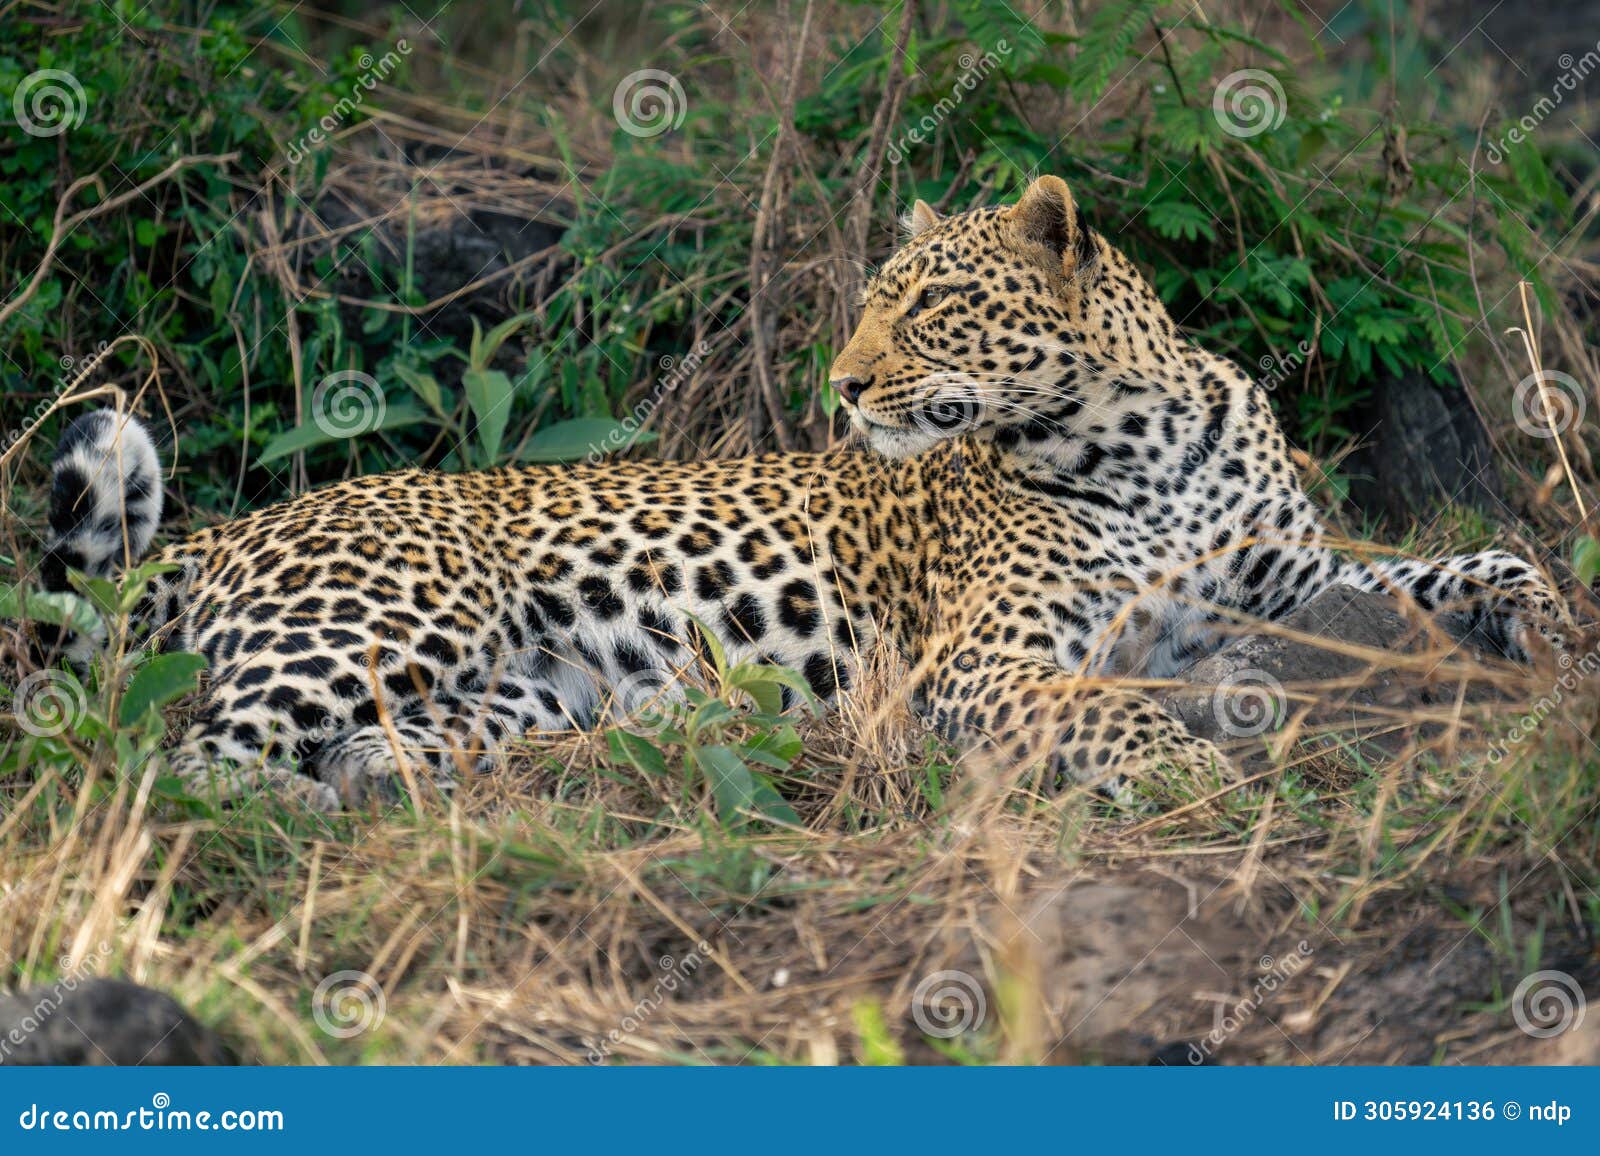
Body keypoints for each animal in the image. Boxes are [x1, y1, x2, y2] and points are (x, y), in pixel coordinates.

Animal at [34, 175, 1566, 812]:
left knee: (356, 747)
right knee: (175, 760)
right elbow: (1116, 700)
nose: (839, 382)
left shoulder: (1288, 581)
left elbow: (1457, 563)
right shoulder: (986, 660)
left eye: (933, 305)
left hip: (519, 683)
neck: (1144, 438)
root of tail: (237, 528)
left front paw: (1545, 624)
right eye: (873, 299)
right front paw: (1189, 765)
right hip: (391, 618)